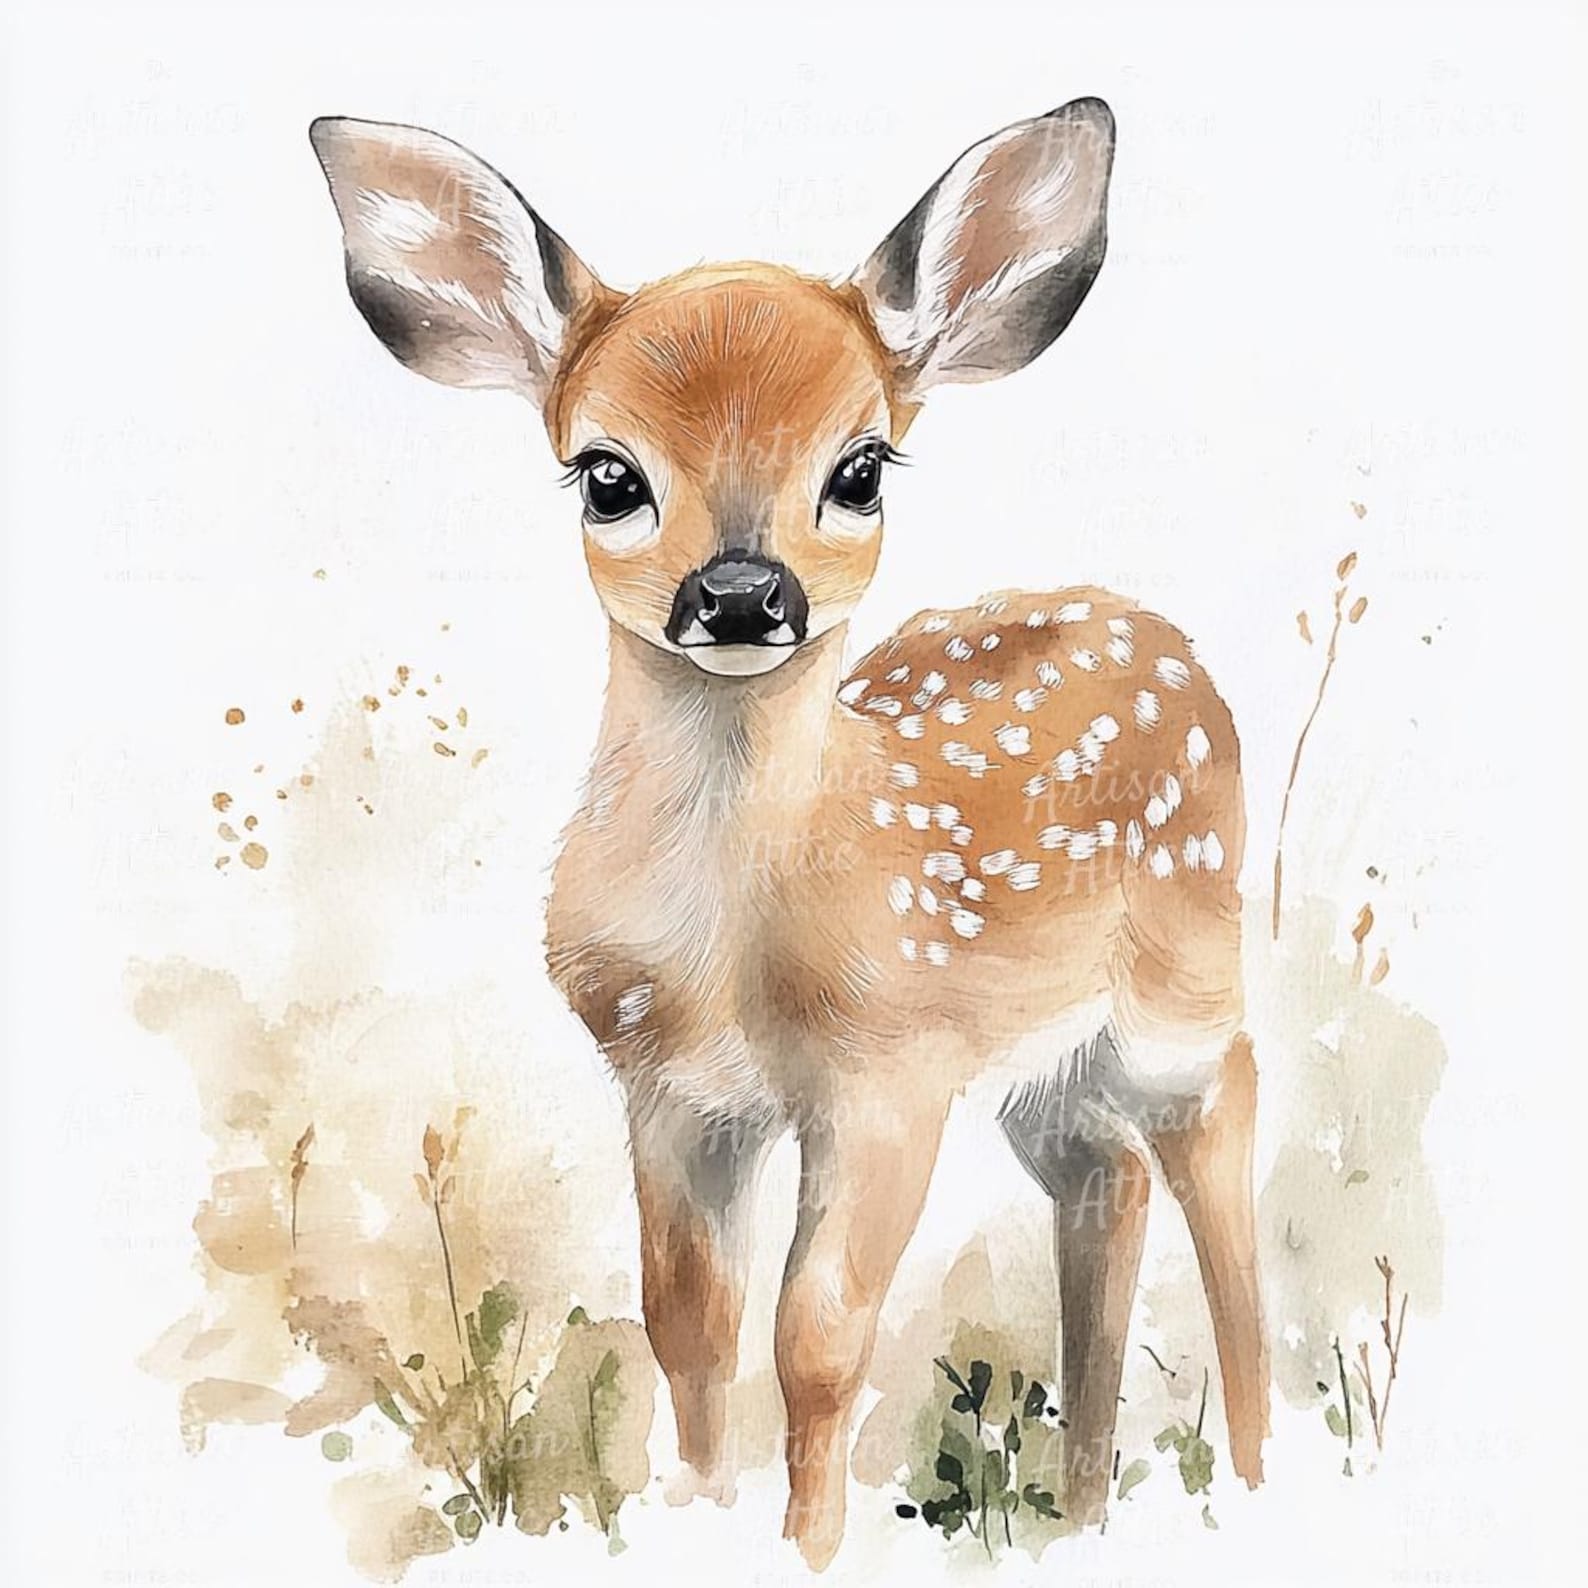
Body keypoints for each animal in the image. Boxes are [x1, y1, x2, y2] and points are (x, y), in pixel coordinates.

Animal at [311, 97, 1268, 1569]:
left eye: (859, 468)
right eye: (606, 476)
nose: (741, 594)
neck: (736, 951)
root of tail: (1159, 633)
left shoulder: (888, 1072)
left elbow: (816, 1338)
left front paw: (806, 1547)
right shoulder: (669, 1089)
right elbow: (690, 1328)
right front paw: (701, 1515)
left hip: (1186, 971)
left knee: (1223, 1153)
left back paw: (1267, 1476)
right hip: (1040, 1064)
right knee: (1105, 1179)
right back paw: (1085, 1513)